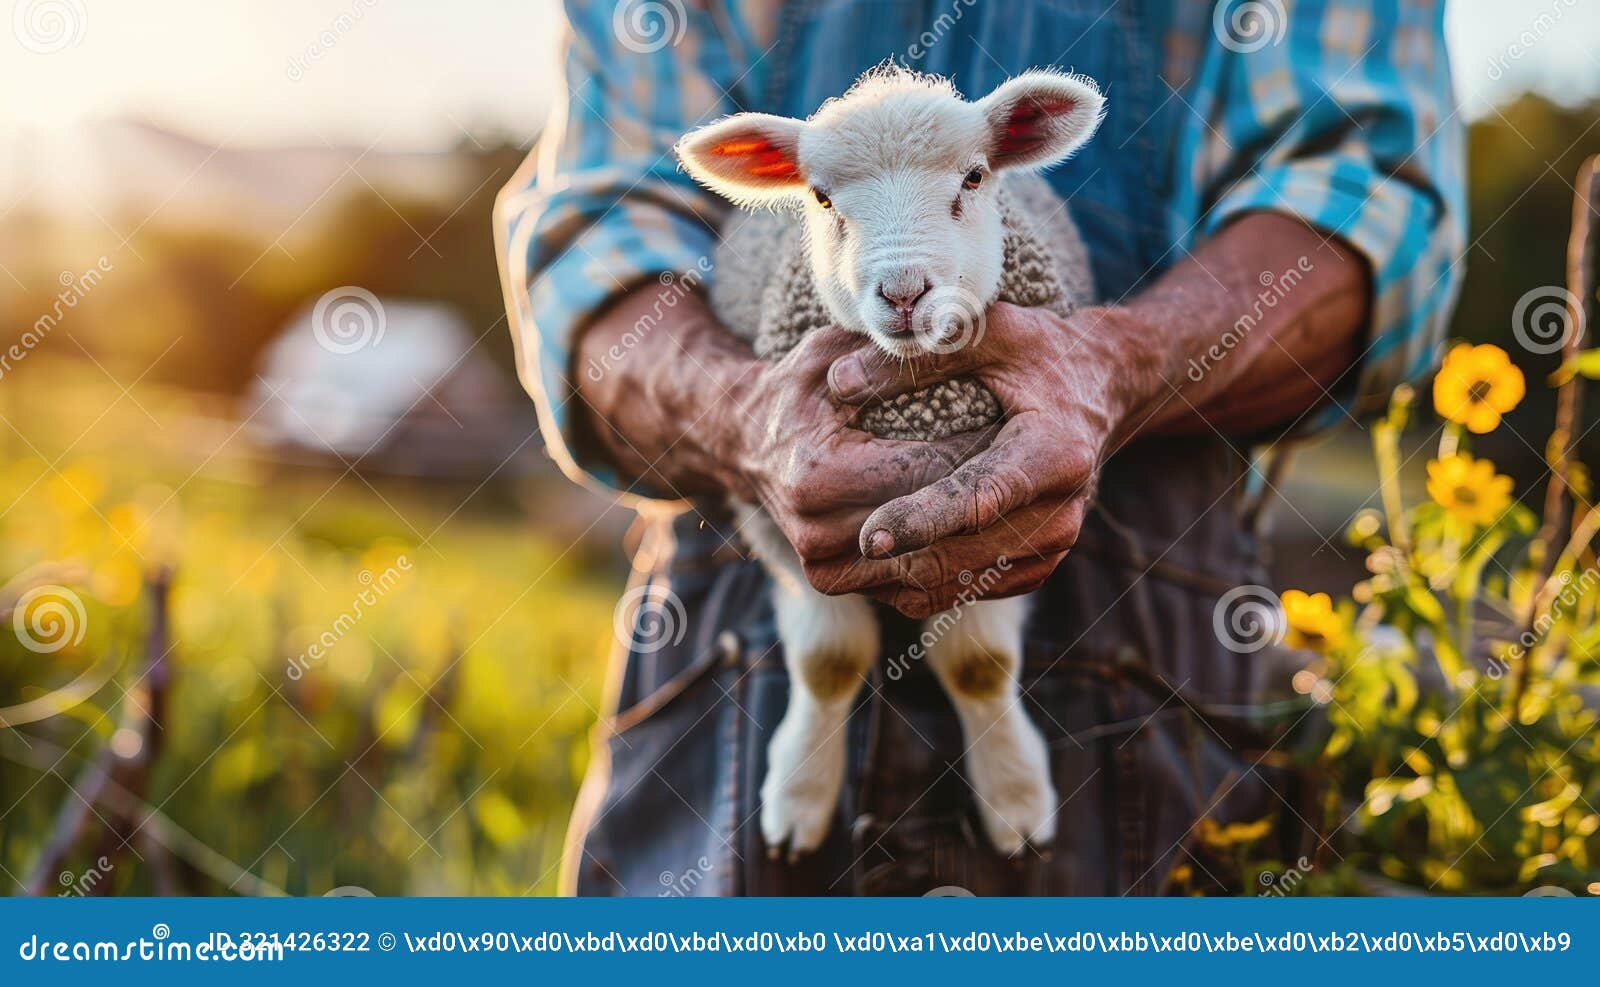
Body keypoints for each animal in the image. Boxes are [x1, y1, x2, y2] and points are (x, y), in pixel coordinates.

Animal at [676, 66, 1104, 859]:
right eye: (821, 198)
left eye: (974, 177)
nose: (905, 293)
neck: (914, 396)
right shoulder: (780, 525)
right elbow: (828, 665)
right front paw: (799, 800)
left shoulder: (1003, 525)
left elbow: (980, 668)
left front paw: (1016, 800)